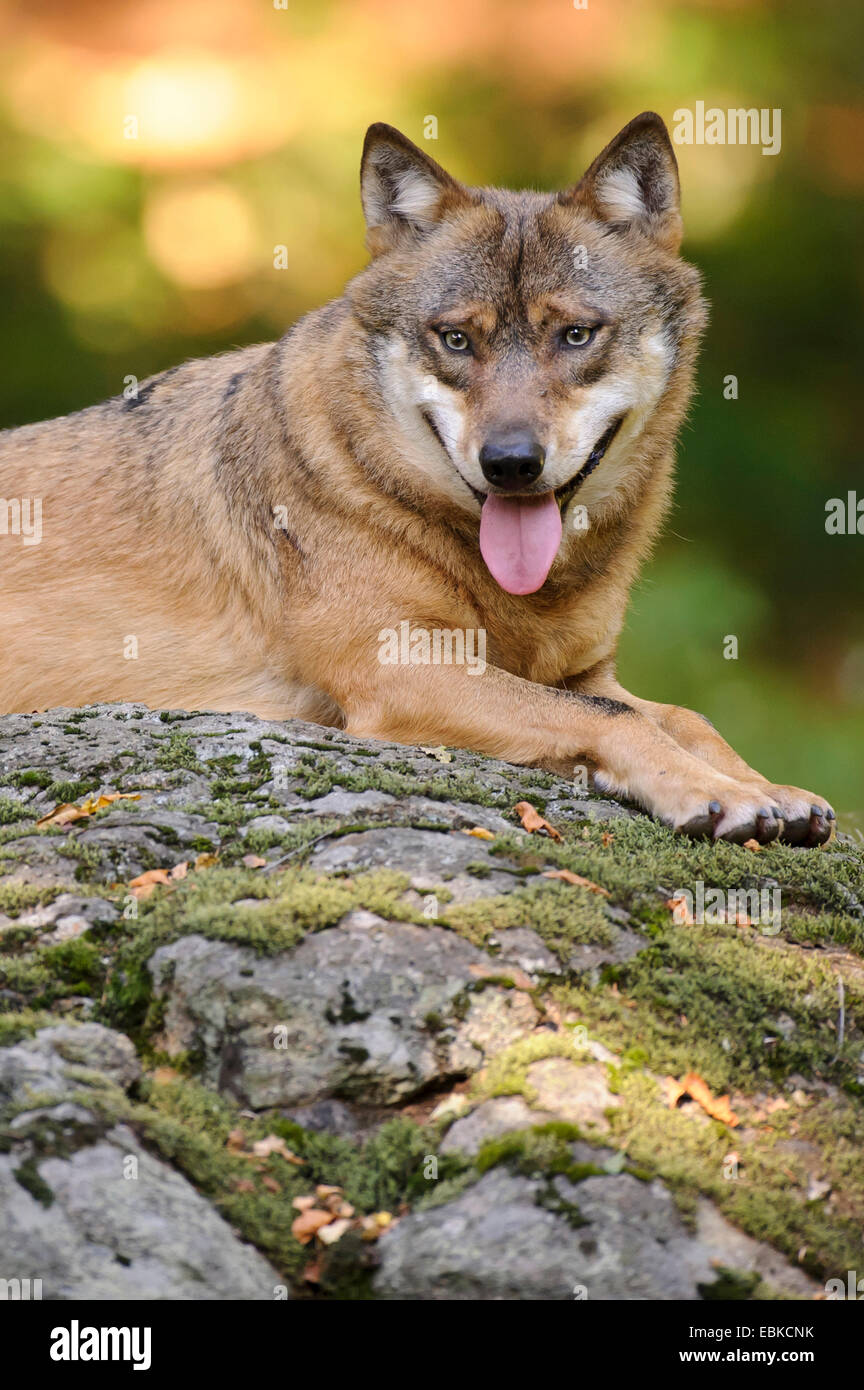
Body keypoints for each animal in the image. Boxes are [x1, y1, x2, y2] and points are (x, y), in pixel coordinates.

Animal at [0, 113, 834, 845]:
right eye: (457, 340)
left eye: (575, 336)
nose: (510, 463)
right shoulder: (397, 670)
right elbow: (622, 721)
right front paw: (721, 796)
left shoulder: (582, 673)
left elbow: (687, 717)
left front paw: (770, 789)